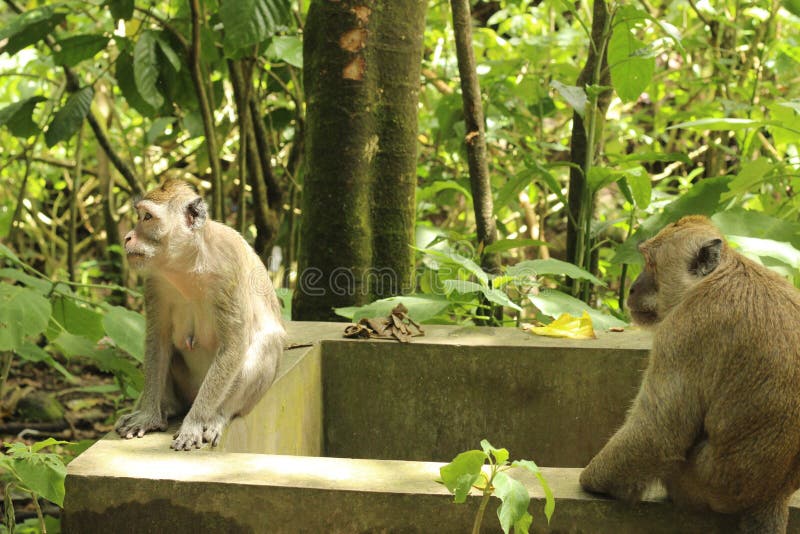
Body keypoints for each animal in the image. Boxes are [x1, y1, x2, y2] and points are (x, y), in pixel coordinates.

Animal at [114, 179, 285, 451]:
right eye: (139, 215)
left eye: (147, 217)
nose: (127, 236)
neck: (188, 265)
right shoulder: (155, 281)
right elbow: (158, 340)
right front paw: (147, 416)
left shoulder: (229, 269)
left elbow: (233, 345)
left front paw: (194, 423)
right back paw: (167, 409)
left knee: (268, 342)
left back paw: (217, 417)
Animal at [580, 215, 800, 533]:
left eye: (651, 264)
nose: (632, 288)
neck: (717, 275)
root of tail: (773, 494)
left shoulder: (682, 331)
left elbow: (658, 433)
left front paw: (591, 480)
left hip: (698, 485)